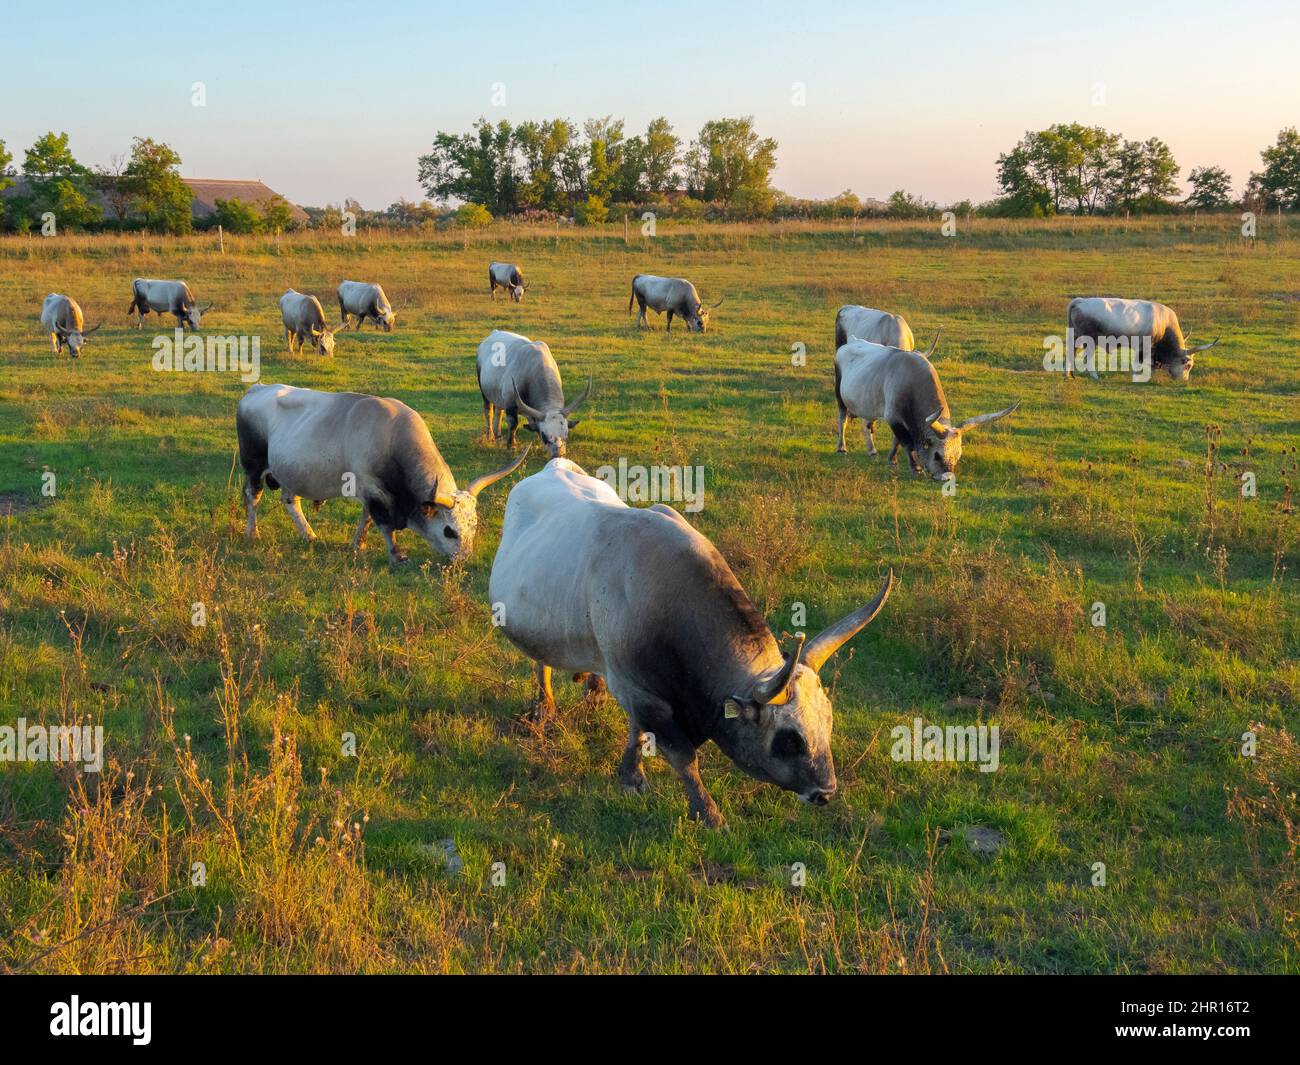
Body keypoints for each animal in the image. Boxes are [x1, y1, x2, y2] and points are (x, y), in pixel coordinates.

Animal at [237, 383, 527, 564]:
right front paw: (396, 554)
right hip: (254, 465)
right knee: (253, 496)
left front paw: (359, 544)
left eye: (473, 526)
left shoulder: (371, 494)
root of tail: (257, 389)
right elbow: (383, 523)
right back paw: (253, 532)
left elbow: (365, 519)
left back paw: (309, 535)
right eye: (449, 531)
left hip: (290, 473)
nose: (463, 561)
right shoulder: (373, 490)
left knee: (290, 500)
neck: (391, 437)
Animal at [475, 330, 592, 459]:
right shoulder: (510, 403)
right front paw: (511, 445)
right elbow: (513, 424)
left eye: (566, 435)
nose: (558, 455)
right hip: (484, 390)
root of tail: (495, 332)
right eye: (545, 436)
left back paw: (498, 435)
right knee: (489, 412)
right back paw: (490, 436)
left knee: (499, 411)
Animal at [488, 457, 894, 827]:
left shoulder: (639, 690)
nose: (825, 792)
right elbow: (682, 756)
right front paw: (708, 813)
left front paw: (630, 774)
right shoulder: (639, 692)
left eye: (828, 719)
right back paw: (545, 707)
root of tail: (554, 465)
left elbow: (637, 732)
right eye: (789, 738)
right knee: (541, 661)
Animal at [834, 337, 1018, 480]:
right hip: (839, 396)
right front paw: (915, 467)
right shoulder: (893, 417)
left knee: (866, 423)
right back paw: (841, 447)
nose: (947, 477)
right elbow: (906, 443)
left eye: (958, 455)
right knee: (842, 420)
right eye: (937, 455)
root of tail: (851, 341)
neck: (911, 381)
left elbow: (896, 440)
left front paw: (892, 459)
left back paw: (871, 450)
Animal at [1066, 297, 1219, 381]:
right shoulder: (1143, 347)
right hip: (1090, 340)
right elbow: (1138, 363)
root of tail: (1080, 301)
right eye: (1187, 365)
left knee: (1071, 354)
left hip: (1075, 337)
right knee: (1088, 358)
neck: (1164, 323)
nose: (1184, 380)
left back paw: (1069, 376)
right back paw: (1094, 376)